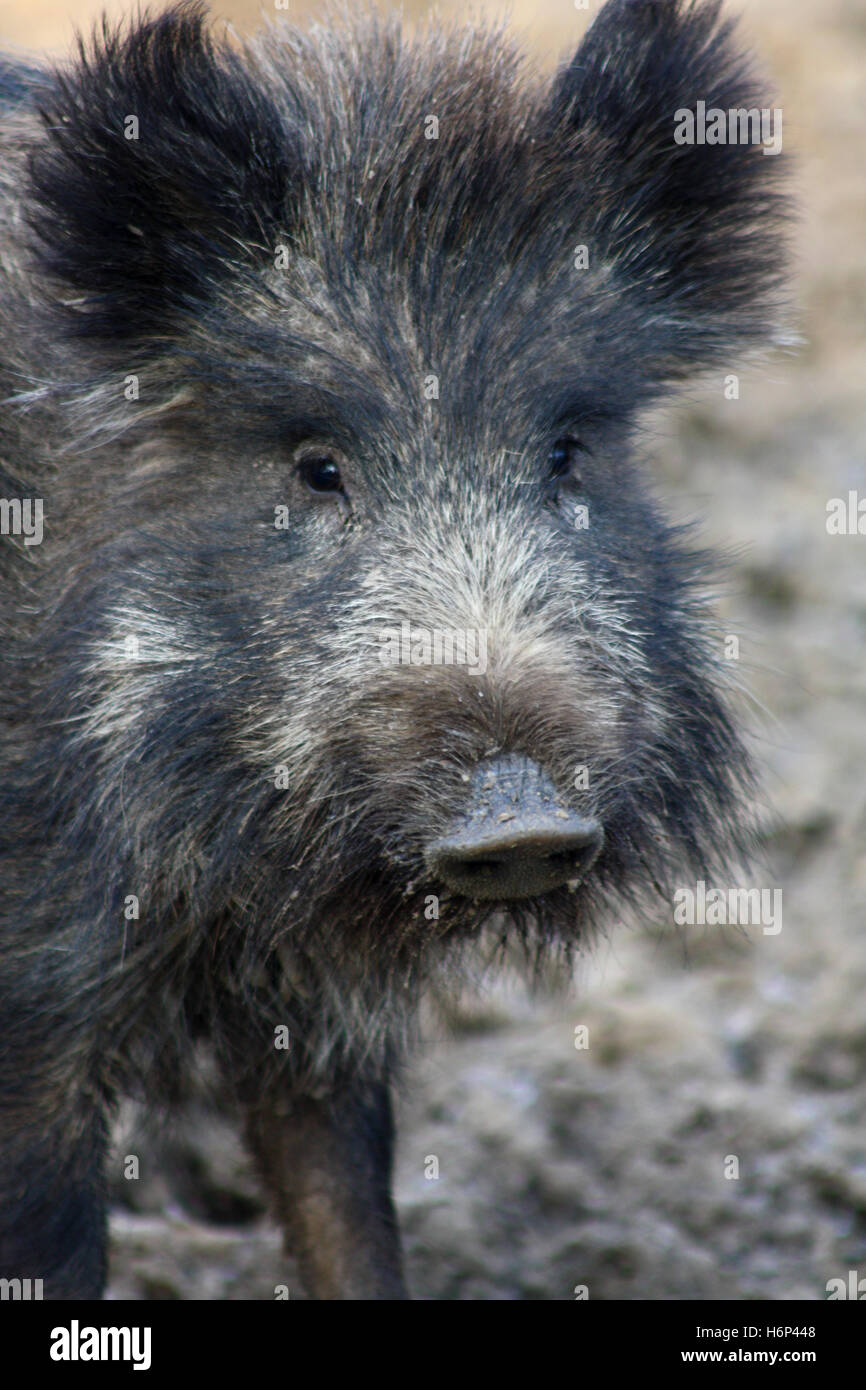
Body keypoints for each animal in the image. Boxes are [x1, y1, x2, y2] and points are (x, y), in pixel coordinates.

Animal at [0, 0, 788, 1298]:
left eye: (566, 451)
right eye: (317, 467)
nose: (519, 821)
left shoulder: (317, 1002)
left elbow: (342, 1194)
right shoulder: (39, 989)